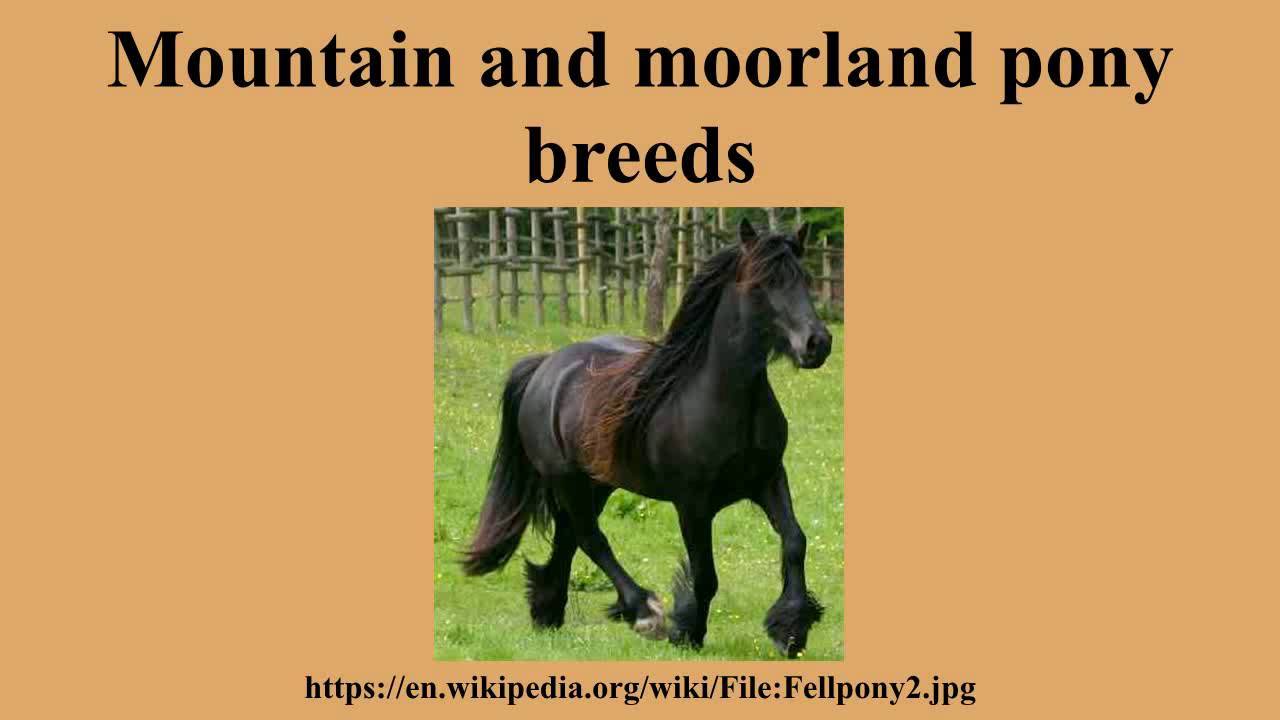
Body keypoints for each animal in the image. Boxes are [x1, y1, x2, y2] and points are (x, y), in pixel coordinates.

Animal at [461, 218, 833, 656]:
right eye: (762, 283)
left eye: (804, 278)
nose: (817, 343)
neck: (723, 399)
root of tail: (545, 366)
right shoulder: (692, 504)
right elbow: (705, 574)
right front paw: (687, 631)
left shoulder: (768, 479)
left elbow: (795, 541)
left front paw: (791, 629)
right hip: (567, 480)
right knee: (590, 537)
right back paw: (643, 613)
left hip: (597, 483)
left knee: (570, 537)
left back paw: (547, 611)